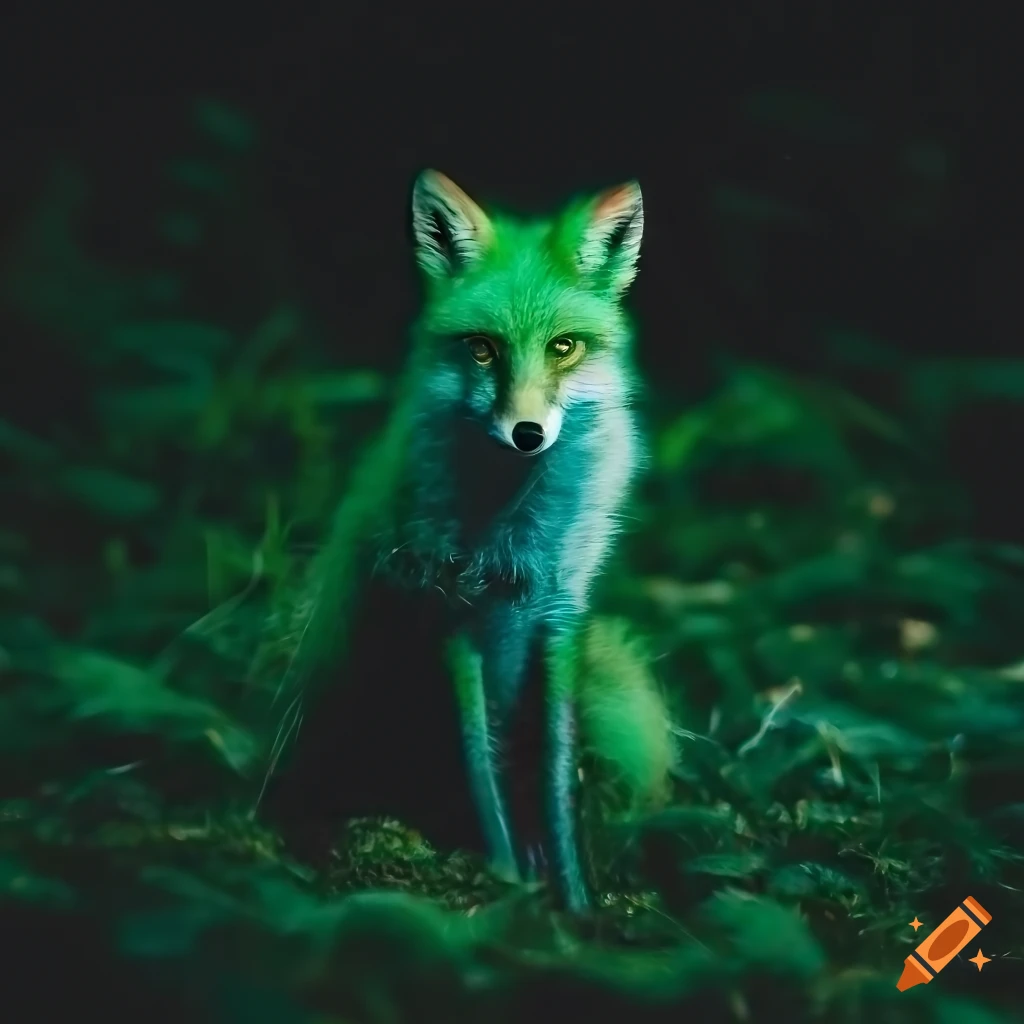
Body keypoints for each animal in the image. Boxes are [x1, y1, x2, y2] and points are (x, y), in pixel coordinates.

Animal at [259, 171, 675, 912]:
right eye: (483, 348)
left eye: (563, 347)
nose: (528, 433)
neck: (516, 540)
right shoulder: (448, 610)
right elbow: (482, 772)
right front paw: (508, 884)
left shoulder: (561, 613)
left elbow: (555, 782)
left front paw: (575, 903)